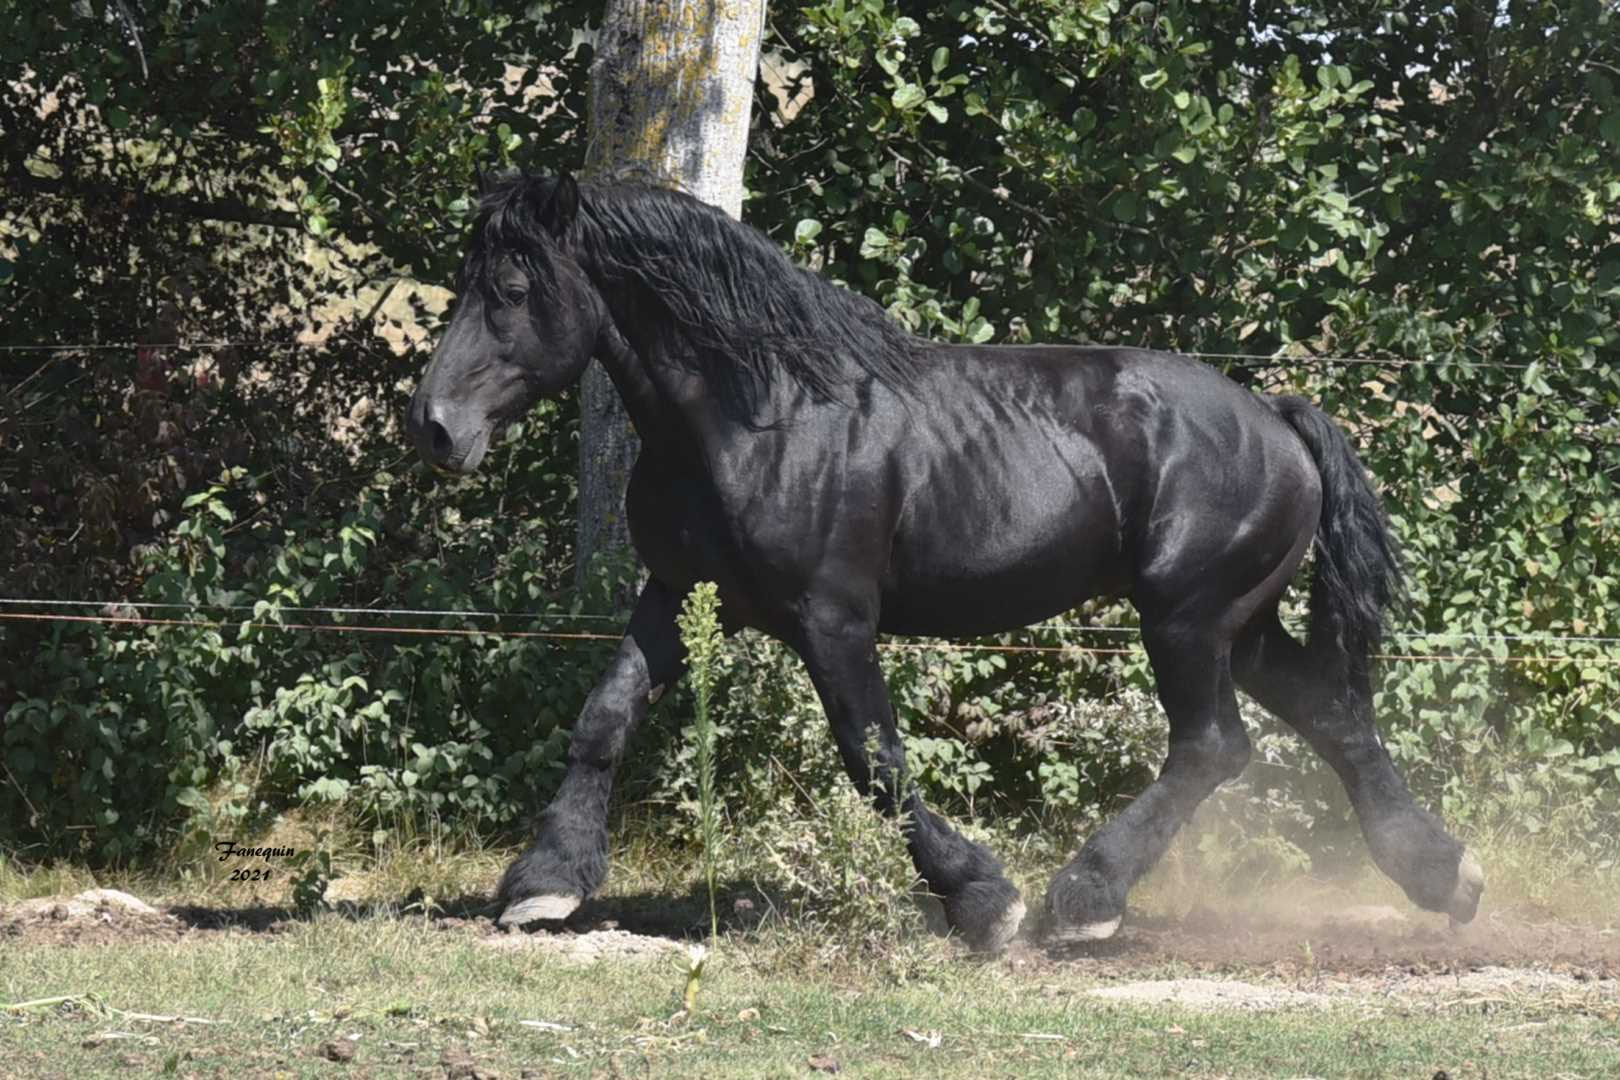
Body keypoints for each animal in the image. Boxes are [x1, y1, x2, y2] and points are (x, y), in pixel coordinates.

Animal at [405, 171, 1484, 952]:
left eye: (511, 289)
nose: (435, 427)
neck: (760, 414)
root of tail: (1278, 420)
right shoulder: (679, 595)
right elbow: (604, 718)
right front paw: (544, 885)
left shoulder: (831, 616)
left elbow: (874, 759)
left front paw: (982, 898)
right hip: (1241, 625)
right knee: (1334, 717)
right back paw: (1447, 878)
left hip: (1186, 618)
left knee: (1214, 746)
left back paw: (1081, 900)